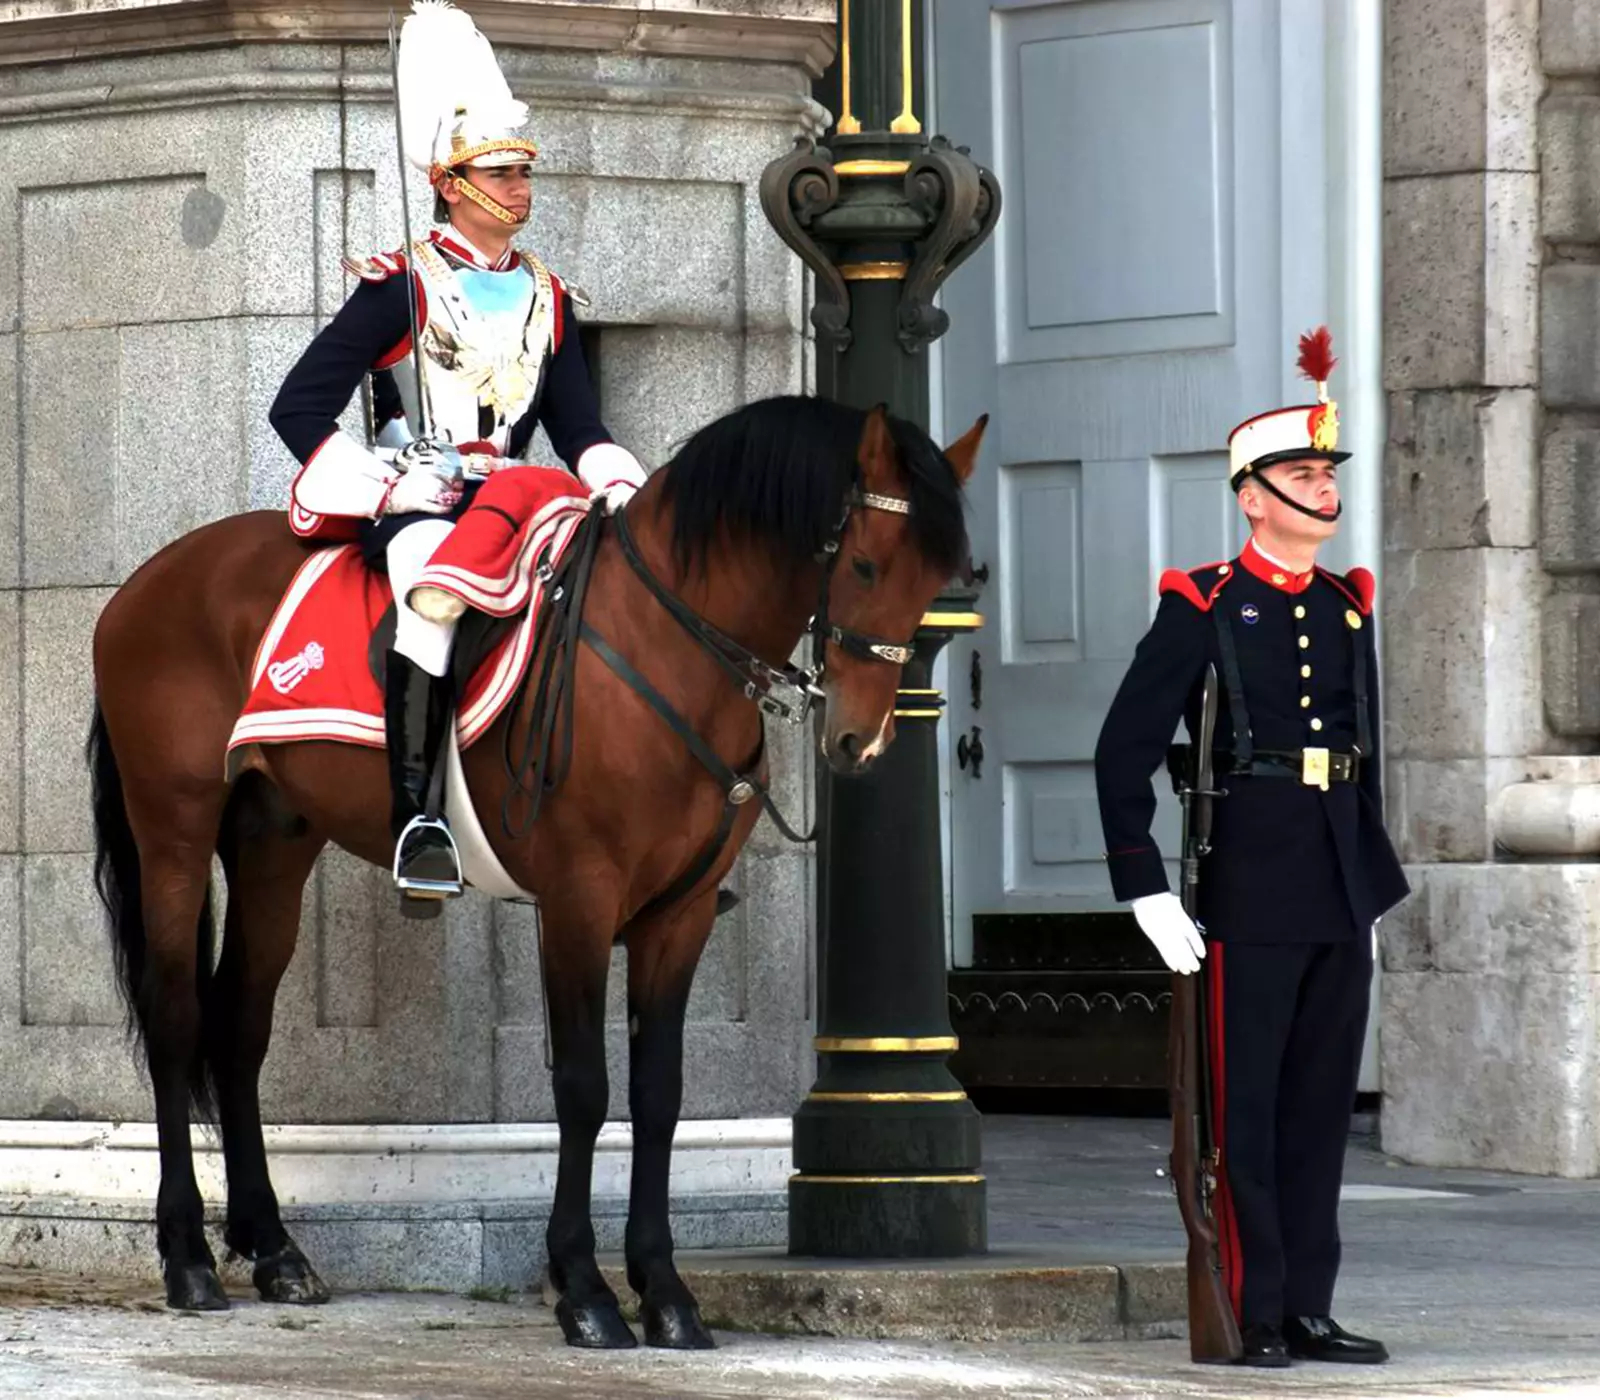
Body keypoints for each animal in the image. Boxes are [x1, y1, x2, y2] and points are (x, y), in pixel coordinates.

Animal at [90, 392, 985, 1344]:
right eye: (864, 562)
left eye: (941, 579)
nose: (862, 741)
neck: (667, 651)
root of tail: (143, 584)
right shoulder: (580, 900)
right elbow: (584, 1088)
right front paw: (585, 1290)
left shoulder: (682, 914)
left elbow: (658, 1094)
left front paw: (665, 1291)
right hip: (175, 831)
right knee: (177, 1017)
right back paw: (188, 1257)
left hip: (274, 844)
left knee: (239, 1027)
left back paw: (274, 1251)